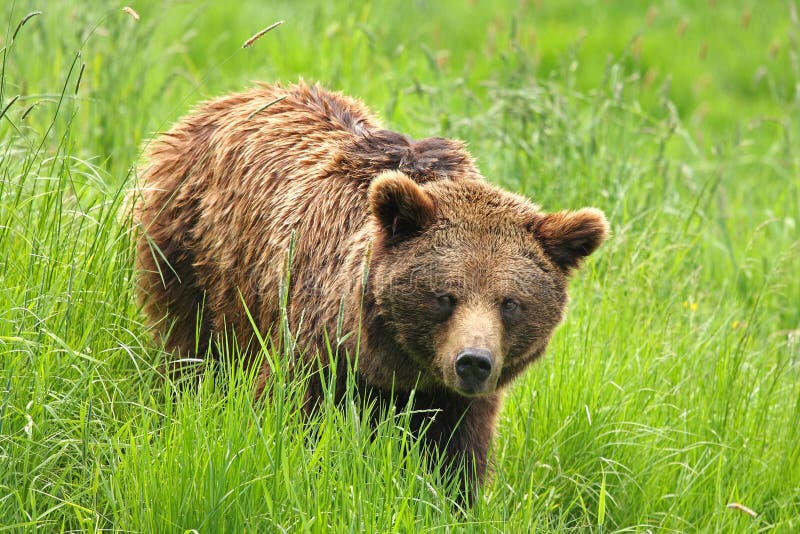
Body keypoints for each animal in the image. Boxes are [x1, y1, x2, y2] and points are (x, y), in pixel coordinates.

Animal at [134, 81, 608, 502]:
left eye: (510, 303)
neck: (392, 362)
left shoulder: (455, 401)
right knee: (188, 350)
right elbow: (291, 421)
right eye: (445, 296)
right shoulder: (315, 346)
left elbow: (454, 458)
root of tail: (224, 101)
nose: (473, 362)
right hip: (191, 255)